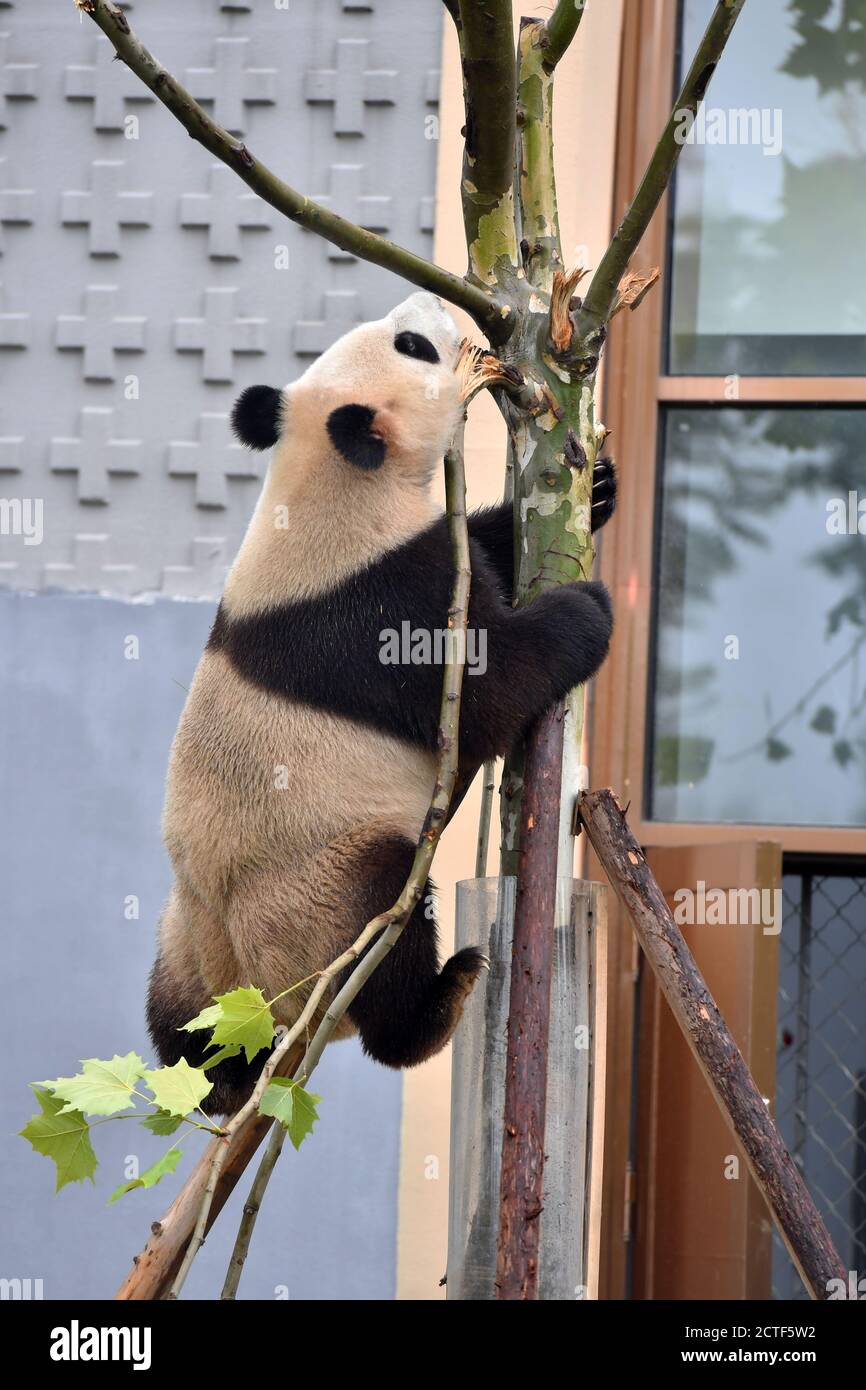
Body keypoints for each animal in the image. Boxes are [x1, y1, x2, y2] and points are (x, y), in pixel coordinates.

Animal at [147, 291, 616, 1115]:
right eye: (413, 347)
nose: (429, 298)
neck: (327, 484)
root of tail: (259, 1010)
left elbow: (484, 548)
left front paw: (597, 490)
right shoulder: (377, 601)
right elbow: (489, 692)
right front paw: (584, 612)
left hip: (183, 939)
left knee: (171, 1017)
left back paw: (205, 1075)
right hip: (317, 902)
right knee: (385, 917)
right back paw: (436, 1003)